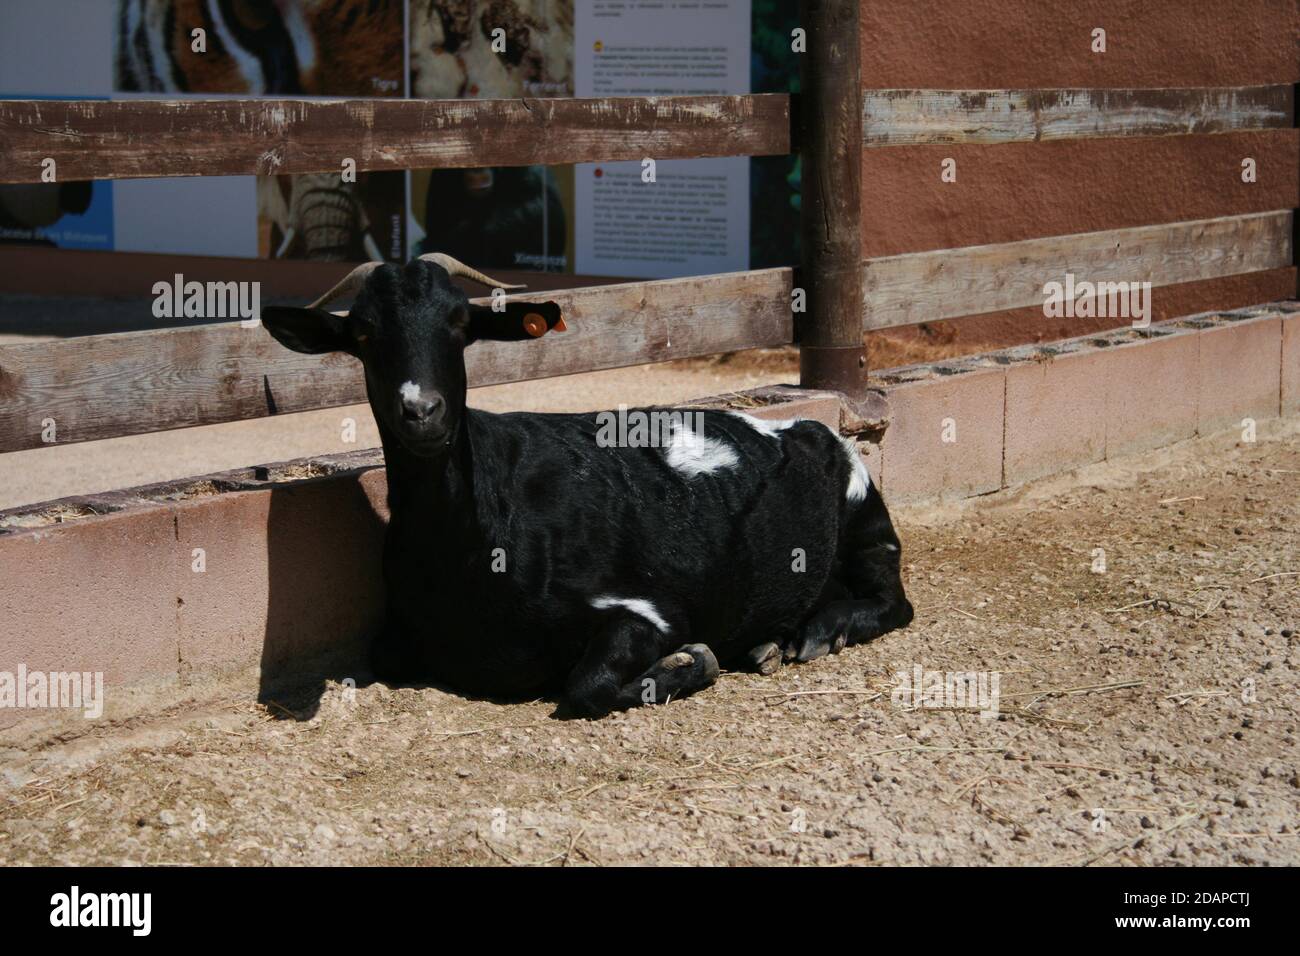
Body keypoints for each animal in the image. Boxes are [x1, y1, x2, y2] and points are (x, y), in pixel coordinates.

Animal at [261, 256, 913, 717]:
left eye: (460, 323)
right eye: (363, 333)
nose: (421, 410)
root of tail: (804, 424)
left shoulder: (647, 609)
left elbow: (588, 686)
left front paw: (691, 663)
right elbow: (384, 654)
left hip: (865, 518)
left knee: (892, 601)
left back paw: (817, 632)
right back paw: (769, 644)